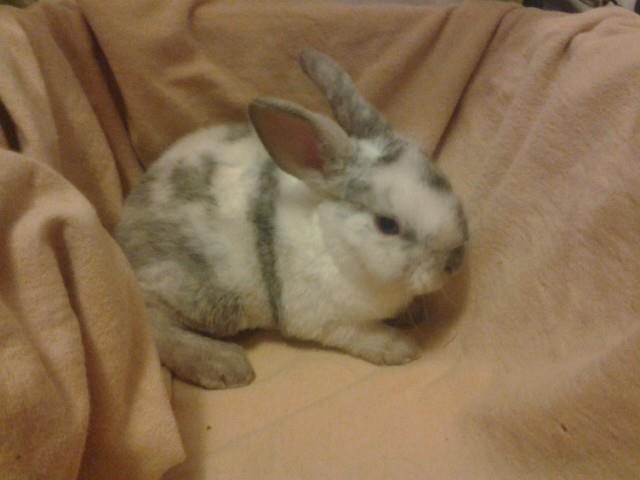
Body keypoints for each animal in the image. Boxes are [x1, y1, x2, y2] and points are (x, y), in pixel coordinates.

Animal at [115, 49, 468, 389]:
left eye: (442, 178)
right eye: (387, 225)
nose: (455, 260)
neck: (337, 244)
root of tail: (126, 230)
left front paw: (415, 315)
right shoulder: (328, 320)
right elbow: (361, 334)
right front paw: (400, 348)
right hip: (199, 291)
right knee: (153, 324)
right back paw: (226, 365)